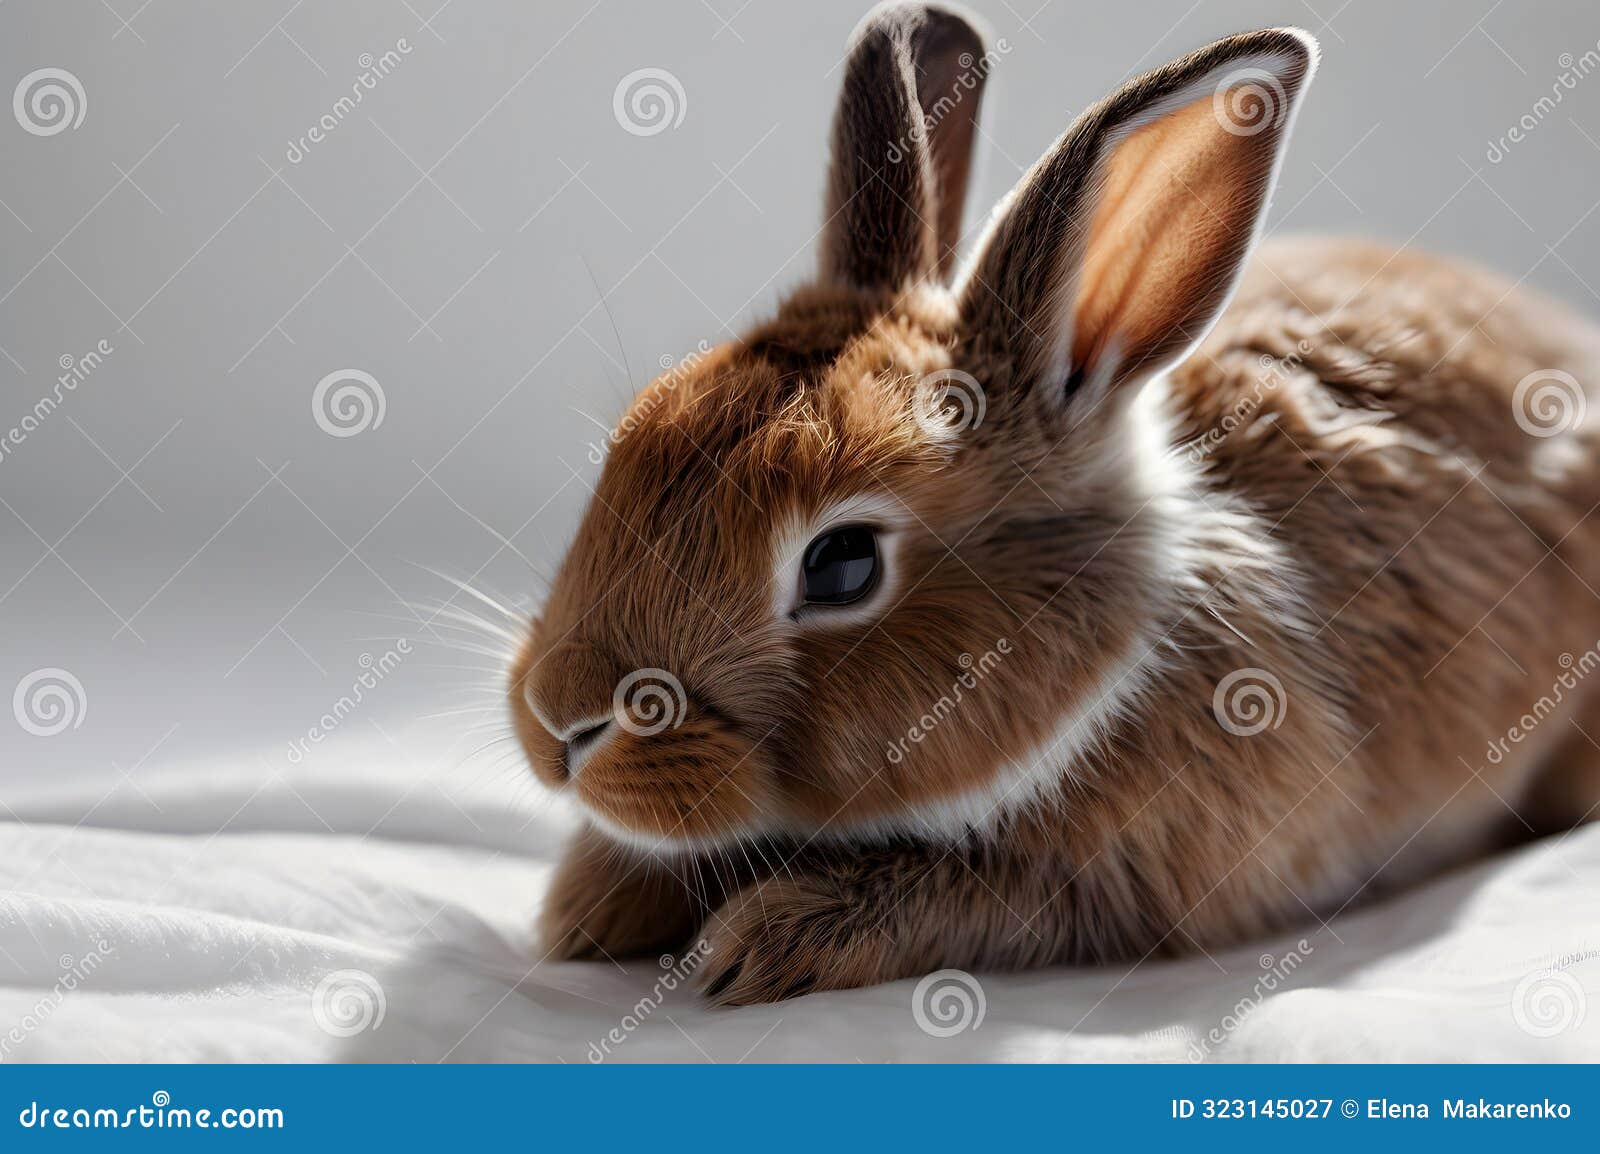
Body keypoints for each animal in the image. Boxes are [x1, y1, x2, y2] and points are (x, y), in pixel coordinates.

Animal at [509, 2, 1600, 1005]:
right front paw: (589, 907)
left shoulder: (1105, 888)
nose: (558, 723)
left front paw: (752, 940)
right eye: (635, 435)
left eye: (844, 563)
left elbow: (973, 896)